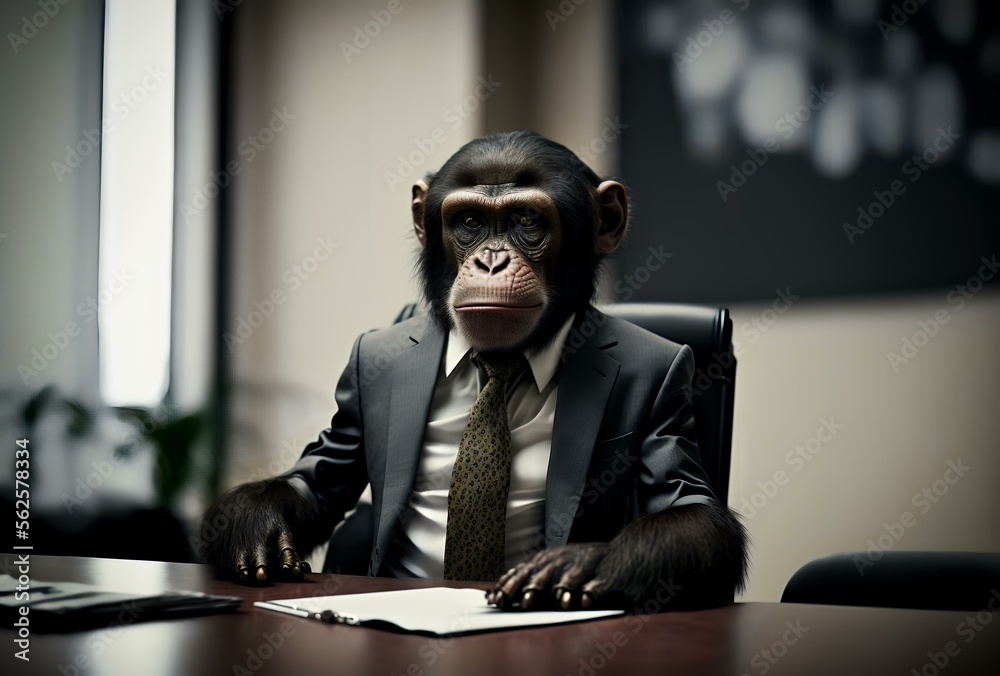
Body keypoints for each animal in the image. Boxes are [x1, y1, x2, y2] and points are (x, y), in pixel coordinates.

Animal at [199, 130, 749, 611]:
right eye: (468, 221)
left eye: (527, 219)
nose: (490, 261)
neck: (502, 361)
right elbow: (314, 479)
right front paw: (256, 527)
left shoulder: (671, 388)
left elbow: (689, 507)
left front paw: (593, 564)